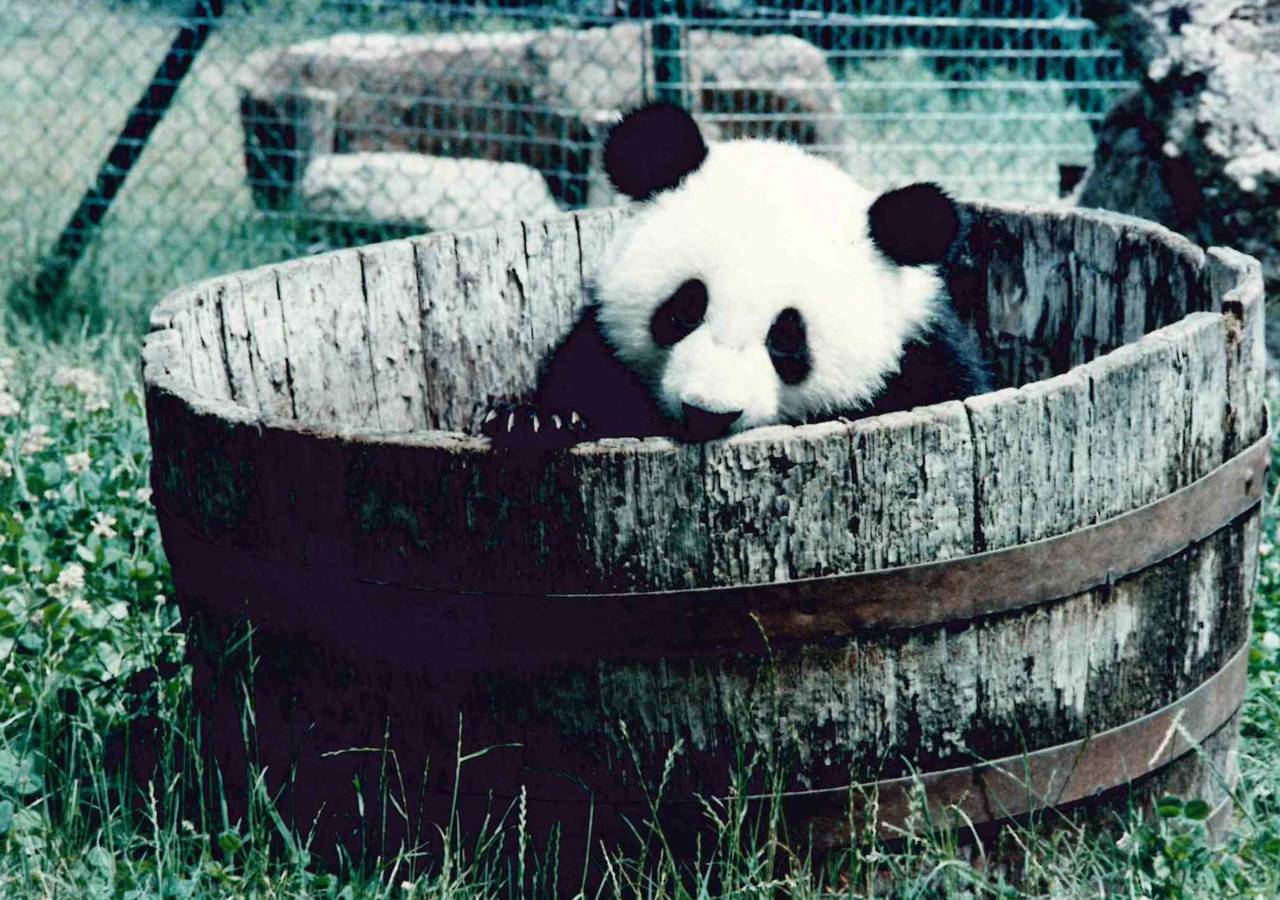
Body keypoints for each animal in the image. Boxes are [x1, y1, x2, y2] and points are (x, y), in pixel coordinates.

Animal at [483, 102, 992, 447]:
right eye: (684, 309)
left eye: (787, 338)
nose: (708, 413)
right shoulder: (603, 343)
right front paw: (537, 421)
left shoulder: (924, 357)